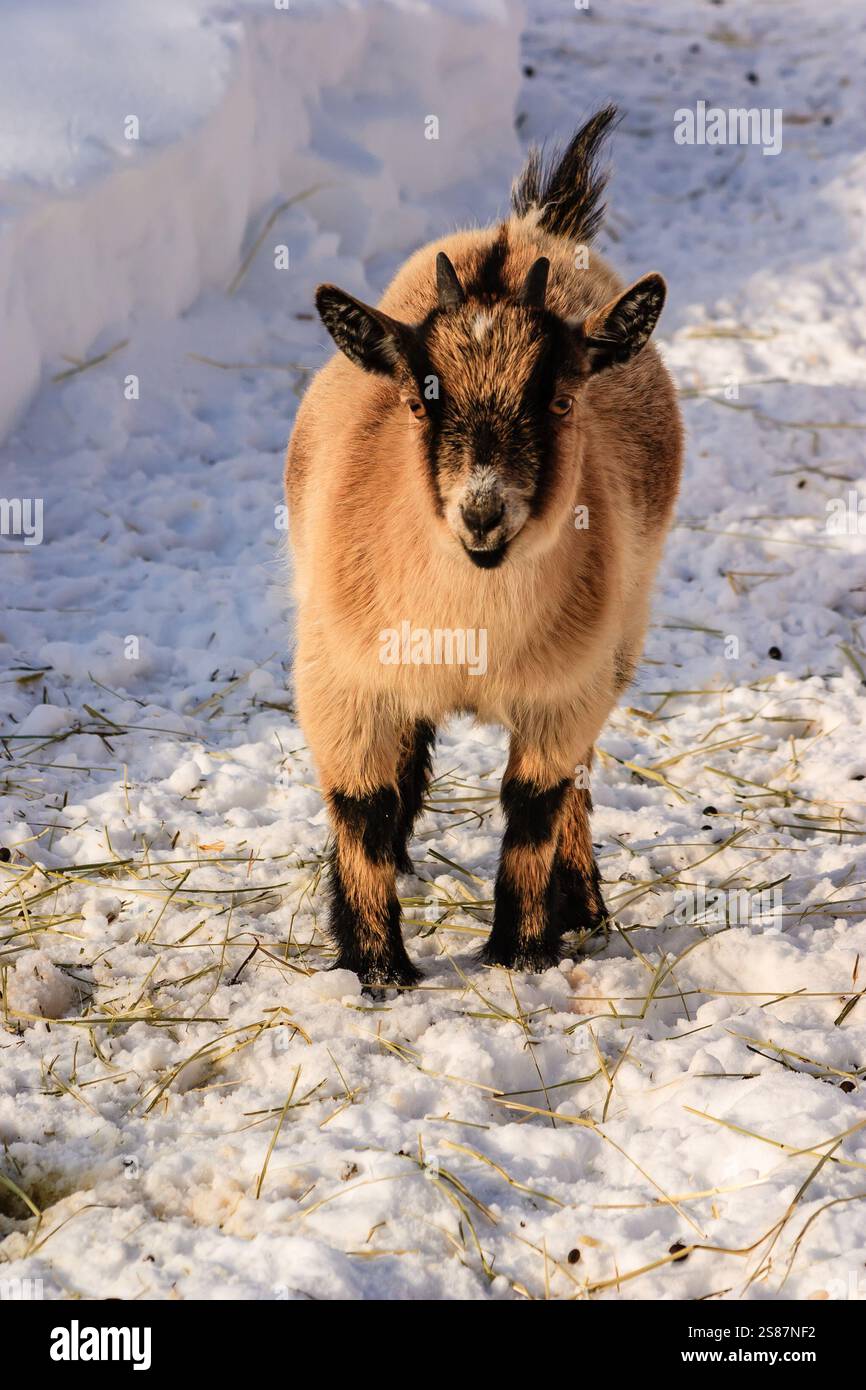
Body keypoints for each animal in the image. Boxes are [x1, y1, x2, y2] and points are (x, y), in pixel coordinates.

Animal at [285, 106, 683, 987]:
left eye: (563, 400)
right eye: (415, 400)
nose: (482, 512)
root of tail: (524, 230)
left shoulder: (565, 690)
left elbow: (536, 803)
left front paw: (521, 950)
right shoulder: (341, 677)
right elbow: (363, 807)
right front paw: (378, 967)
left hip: (621, 638)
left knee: (578, 779)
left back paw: (584, 905)